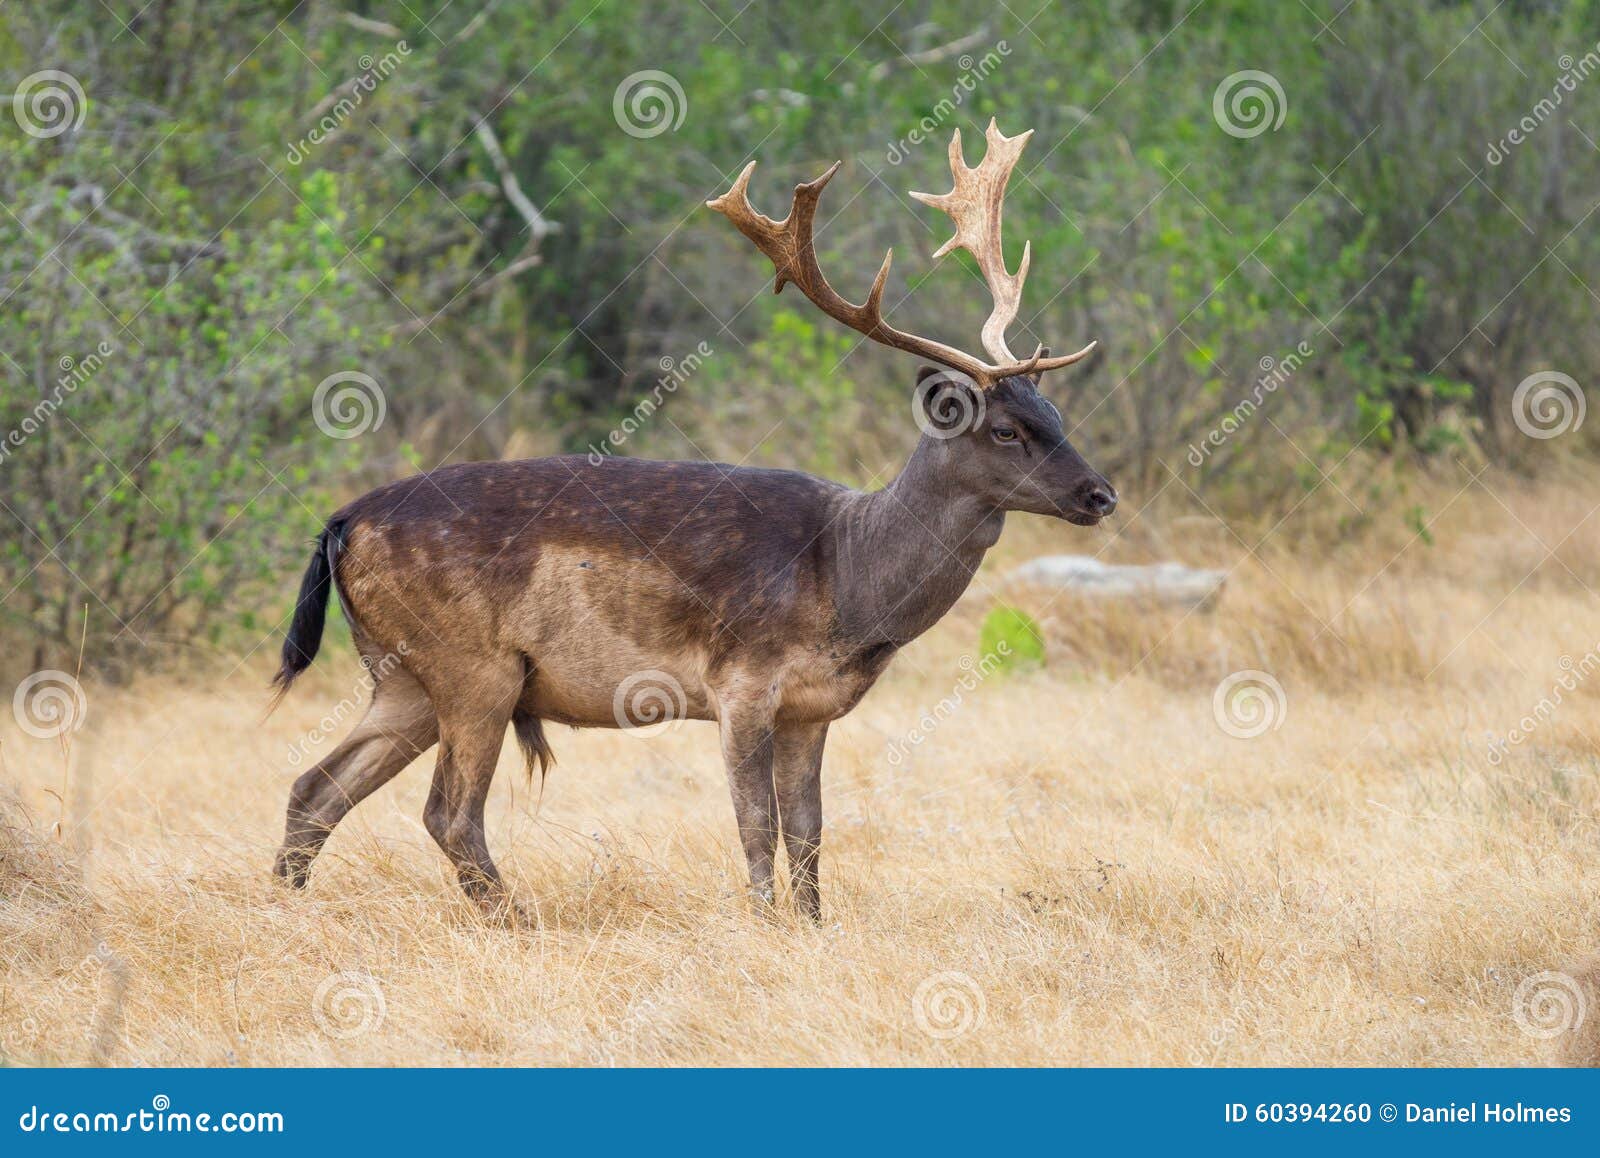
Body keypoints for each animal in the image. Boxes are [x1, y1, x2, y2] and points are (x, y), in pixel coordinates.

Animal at [269, 120, 1115, 923]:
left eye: (1055, 414)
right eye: (1003, 429)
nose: (1100, 494)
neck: (846, 577)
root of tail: (341, 522)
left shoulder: (812, 710)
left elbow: (809, 829)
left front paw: (813, 927)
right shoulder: (739, 681)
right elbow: (755, 825)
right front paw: (763, 924)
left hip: (402, 676)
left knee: (315, 787)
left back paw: (288, 910)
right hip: (472, 665)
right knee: (447, 813)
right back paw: (520, 923)